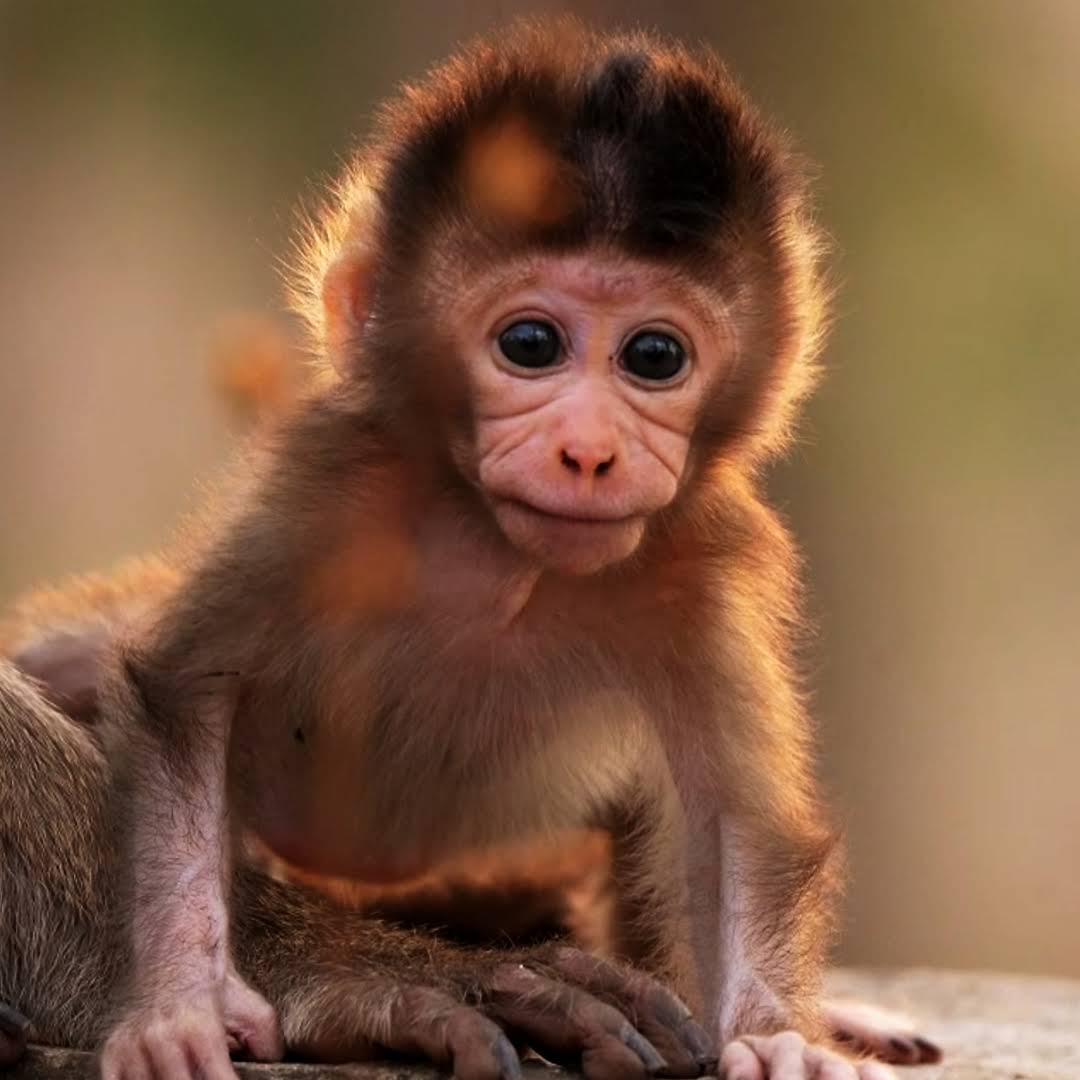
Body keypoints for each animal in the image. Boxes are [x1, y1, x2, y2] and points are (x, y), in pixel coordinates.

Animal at [0, 19, 944, 1080]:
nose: (589, 452)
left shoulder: (703, 564)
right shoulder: (322, 494)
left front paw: (779, 1034)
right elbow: (181, 700)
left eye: (655, 357)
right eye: (529, 344)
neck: (499, 558)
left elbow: (732, 820)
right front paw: (178, 1007)